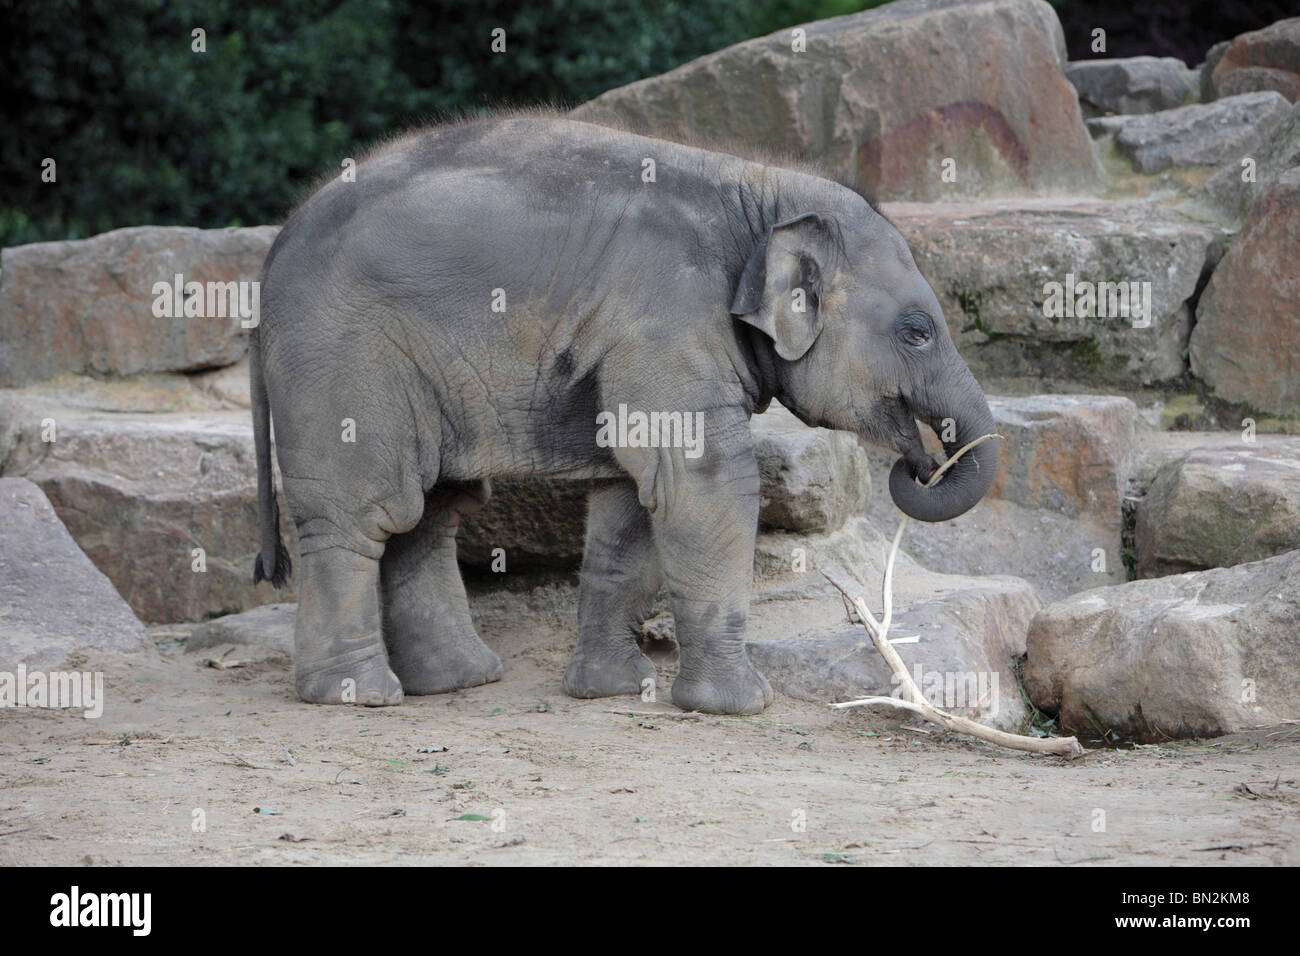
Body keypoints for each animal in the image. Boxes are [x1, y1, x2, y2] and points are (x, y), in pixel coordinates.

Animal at [251, 110, 1000, 714]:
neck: (761, 194)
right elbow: (703, 481)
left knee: (432, 511)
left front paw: (613, 691)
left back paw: (459, 680)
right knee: (362, 514)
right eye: (918, 332)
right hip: (342, 360)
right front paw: (739, 706)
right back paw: (357, 695)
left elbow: (633, 498)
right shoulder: (666, 322)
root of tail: (275, 246)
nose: (923, 464)